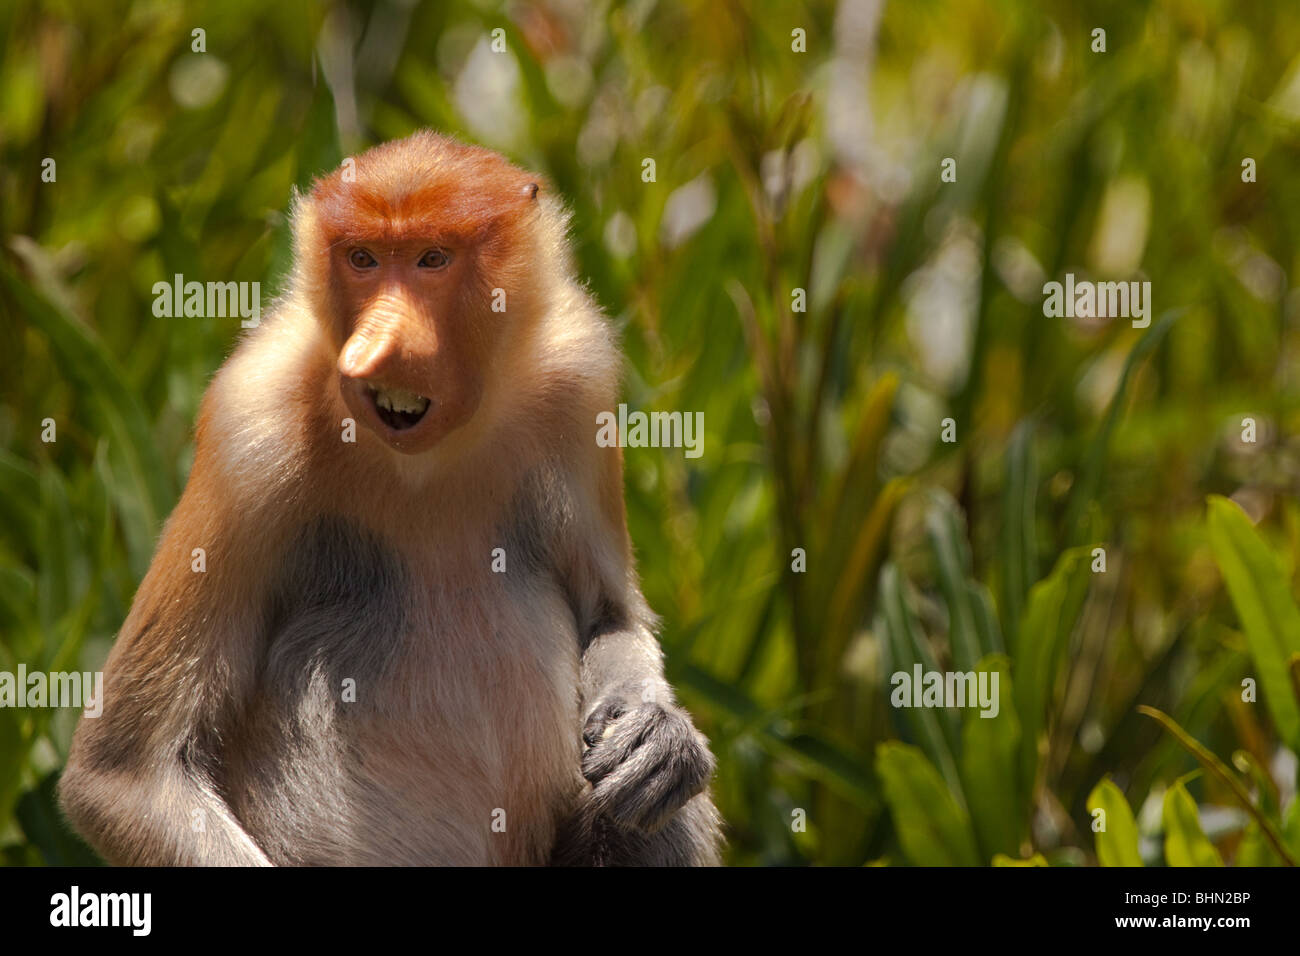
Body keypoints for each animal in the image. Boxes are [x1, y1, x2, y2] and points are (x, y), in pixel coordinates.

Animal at [58, 130, 722, 866]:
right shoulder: (249, 422)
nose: (373, 351)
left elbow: (612, 613)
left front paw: (662, 742)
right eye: (364, 259)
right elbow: (126, 772)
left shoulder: (580, 378)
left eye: (432, 259)